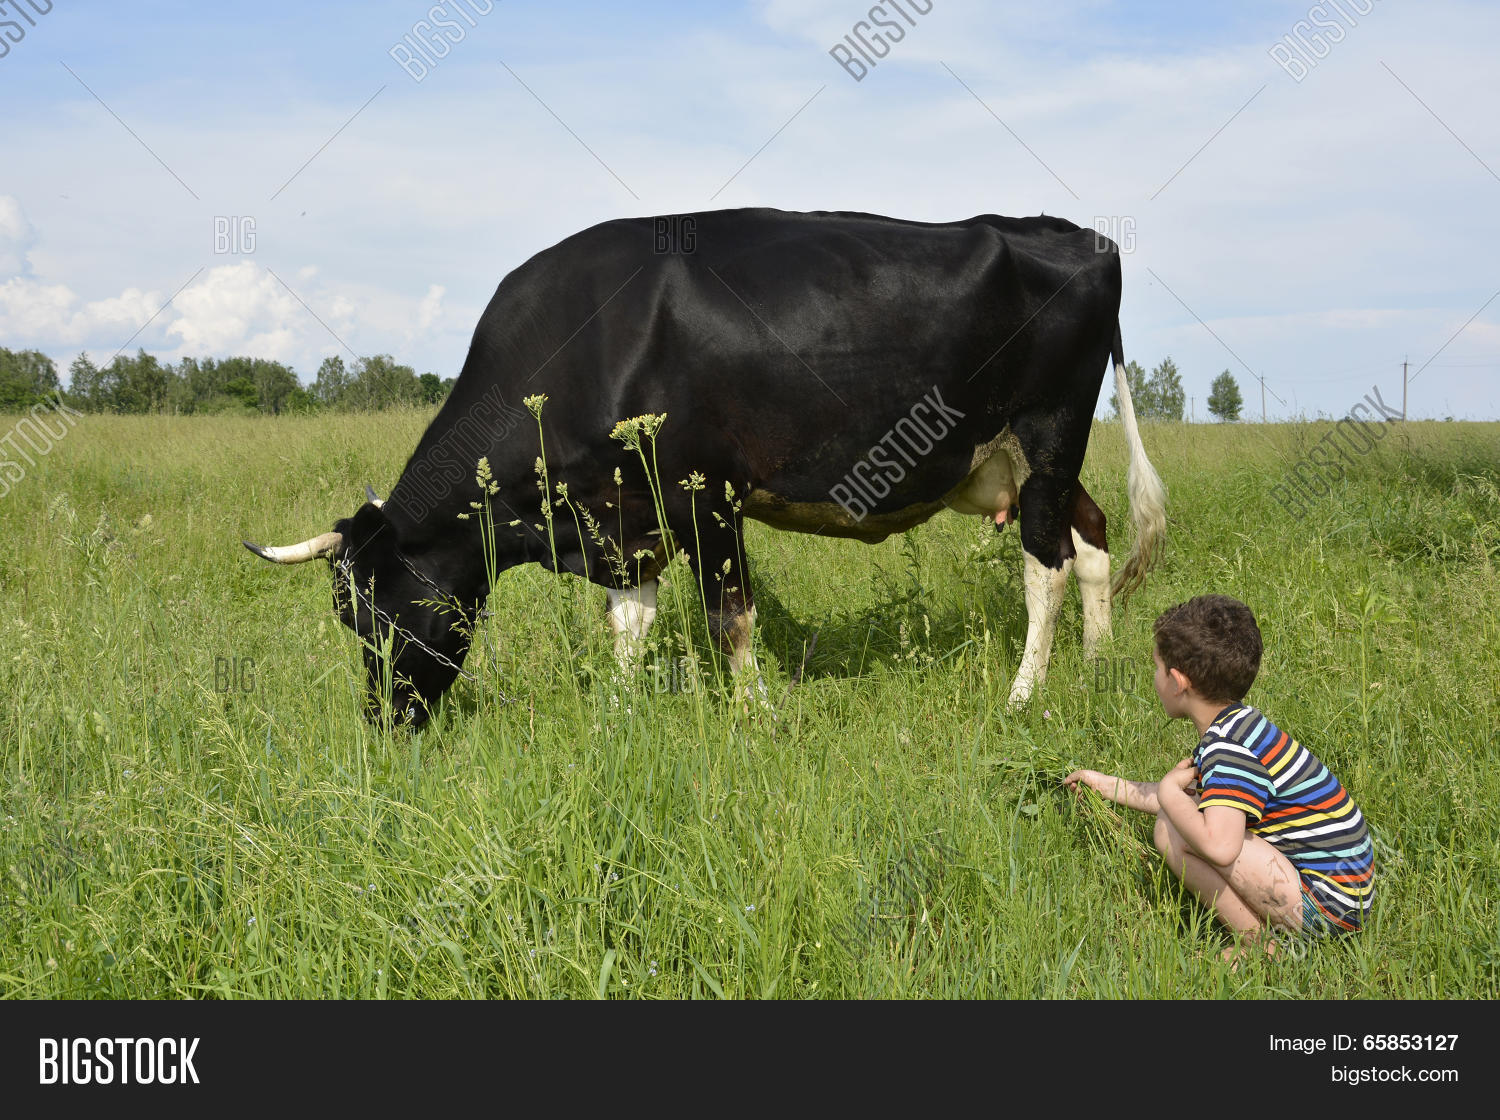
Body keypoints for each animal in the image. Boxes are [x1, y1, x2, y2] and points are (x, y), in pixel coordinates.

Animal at [246, 207, 1166, 726]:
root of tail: (1065, 231)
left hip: (1047, 431)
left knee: (1046, 565)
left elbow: (732, 618)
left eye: (376, 613)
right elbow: (629, 624)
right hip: (1020, 457)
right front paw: (617, 715)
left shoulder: (708, 495)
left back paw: (1023, 696)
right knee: (1090, 537)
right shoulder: (624, 518)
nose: (383, 723)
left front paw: (754, 719)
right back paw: (1093, 666)